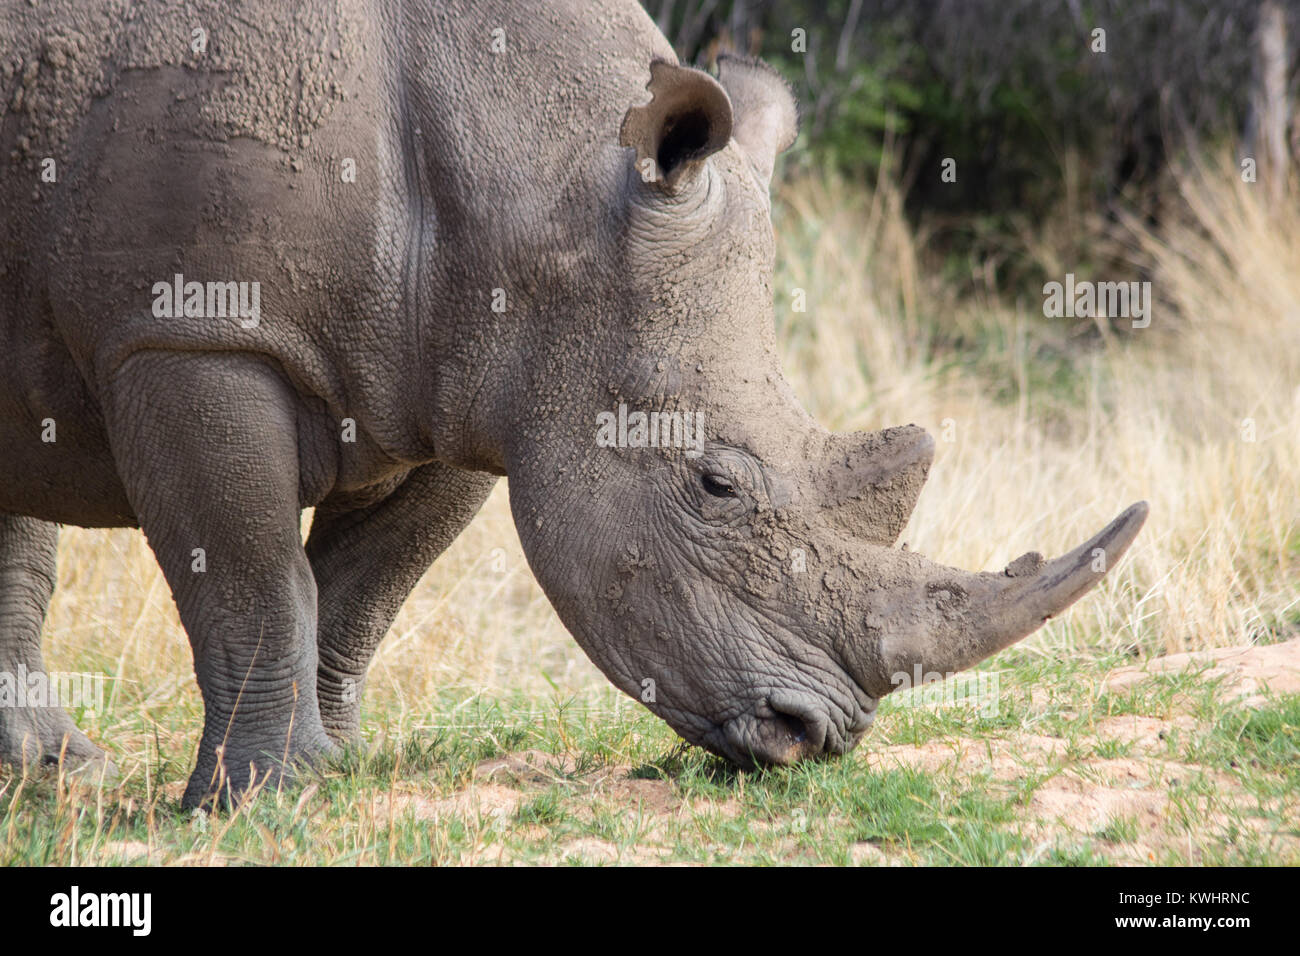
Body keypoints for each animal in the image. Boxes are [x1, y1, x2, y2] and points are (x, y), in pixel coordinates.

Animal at [0, 0, 1147, 807]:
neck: (537, 179)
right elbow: (253, 576)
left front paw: (336, 773)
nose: (815, 734)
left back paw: (55, 775)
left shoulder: (462, 377)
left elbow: (358, 590)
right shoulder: (186, 332)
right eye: (714, 484)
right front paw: (265, 803)